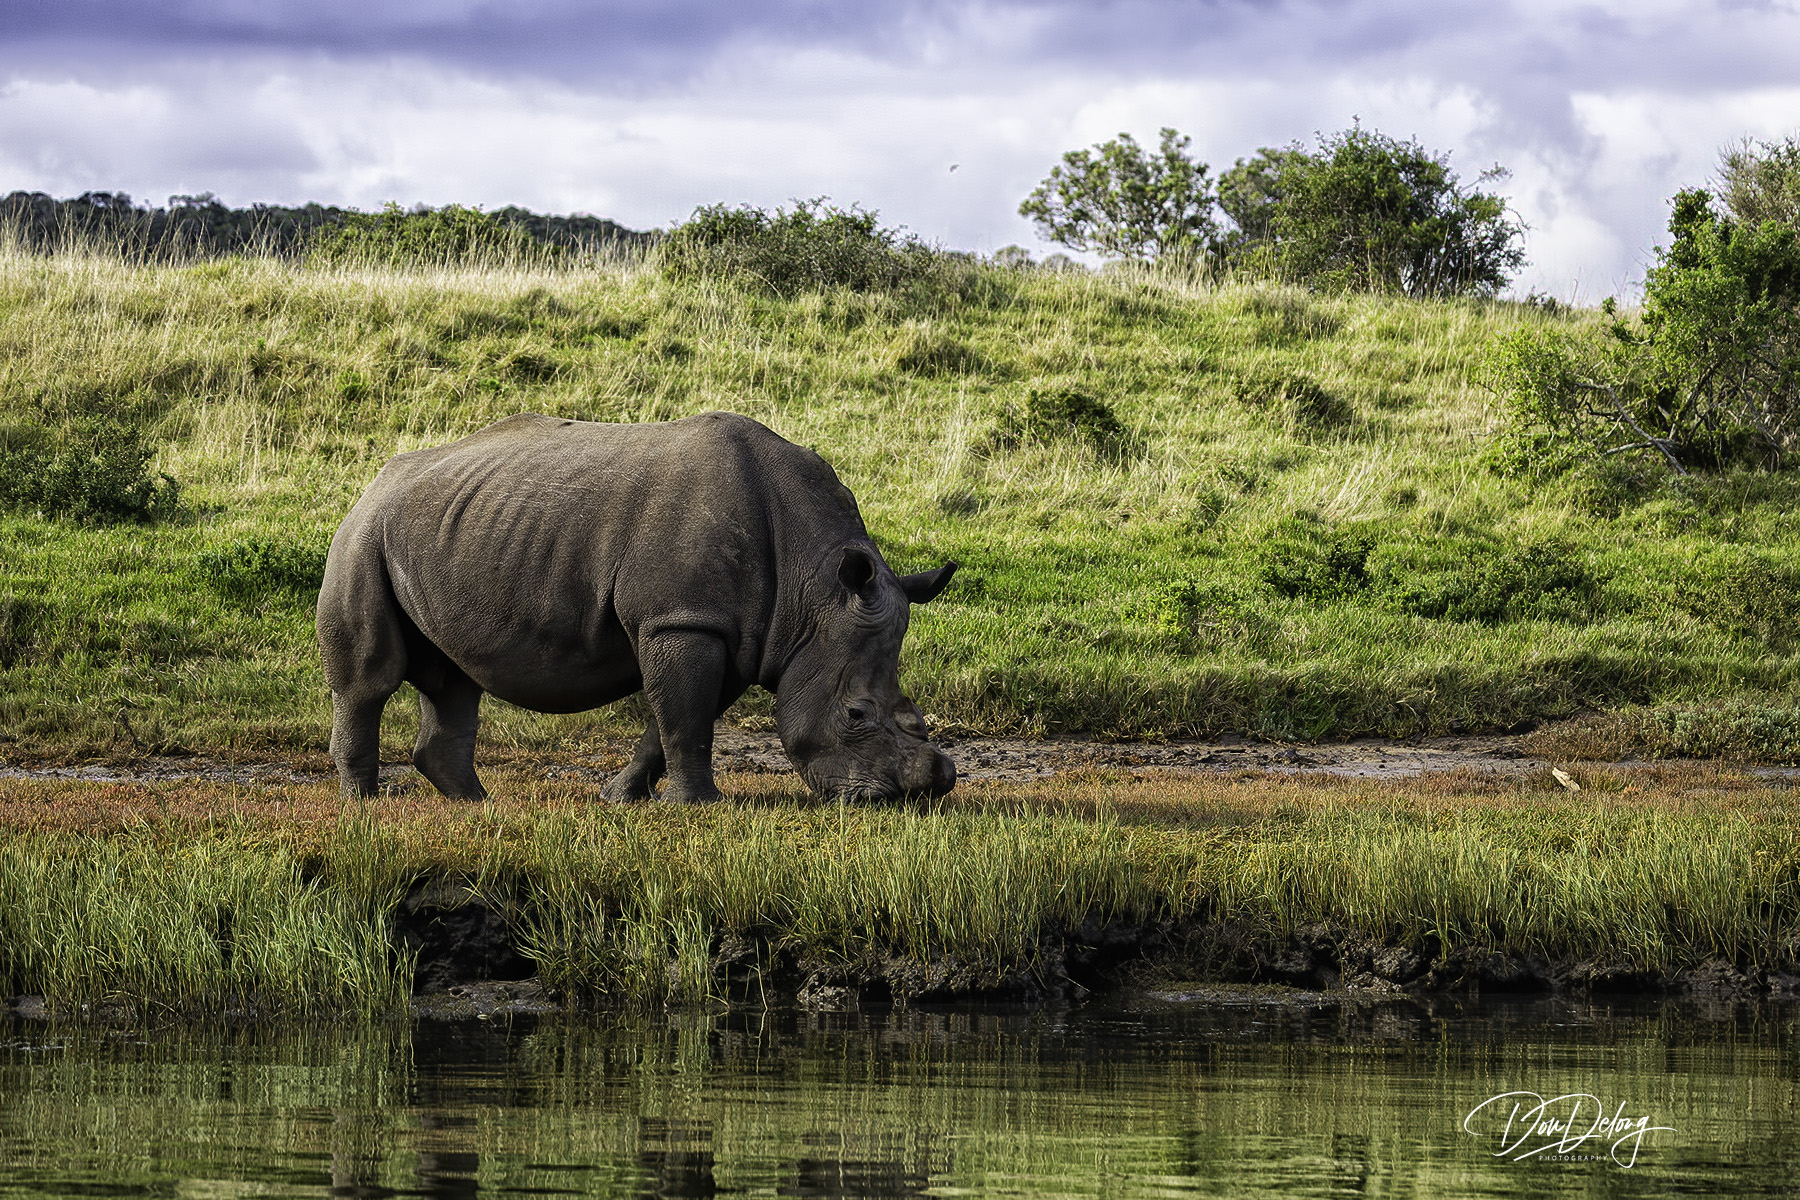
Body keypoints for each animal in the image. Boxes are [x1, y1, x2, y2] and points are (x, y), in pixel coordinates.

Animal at [316, 411, 958, 803]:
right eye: (855, 714)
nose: (907, 797)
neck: (814, 591)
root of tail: (377, 478)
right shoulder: (682, 619)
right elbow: (685, 718)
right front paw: (700, 805)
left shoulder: (727, 631)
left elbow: (678, 718)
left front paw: (621, 798)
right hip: (365, 533)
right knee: (372, 678)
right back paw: (364, 804)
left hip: (443, 527)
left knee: (453, 678)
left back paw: (476, 804)